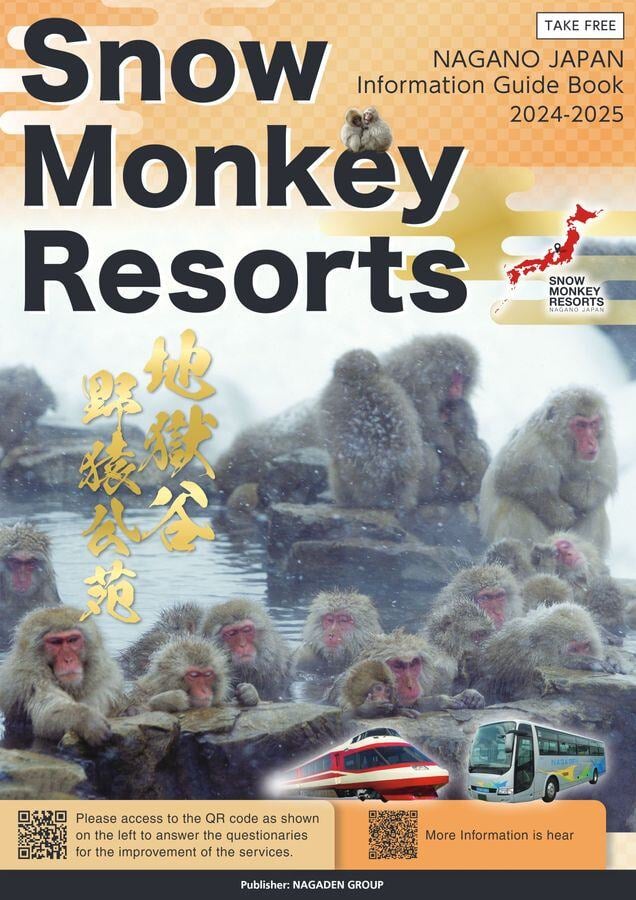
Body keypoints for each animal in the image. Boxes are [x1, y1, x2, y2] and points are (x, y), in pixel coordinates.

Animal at [0, 606, 124, 746]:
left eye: (72, 640)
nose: (68, 659)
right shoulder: (29, 676)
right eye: (55, 642)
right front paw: (85, 719)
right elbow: (48, 710)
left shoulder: (106, 679)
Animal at [479, 388, 617, 556]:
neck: (562, 448)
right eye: (580, 425)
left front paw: (571, 492)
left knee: (594, 509)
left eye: (594, 424)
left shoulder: (603, 449)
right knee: (512, 504)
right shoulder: (530, 449)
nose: (592, 442)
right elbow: (507, 481)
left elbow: (599, 485)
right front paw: (560, 514)